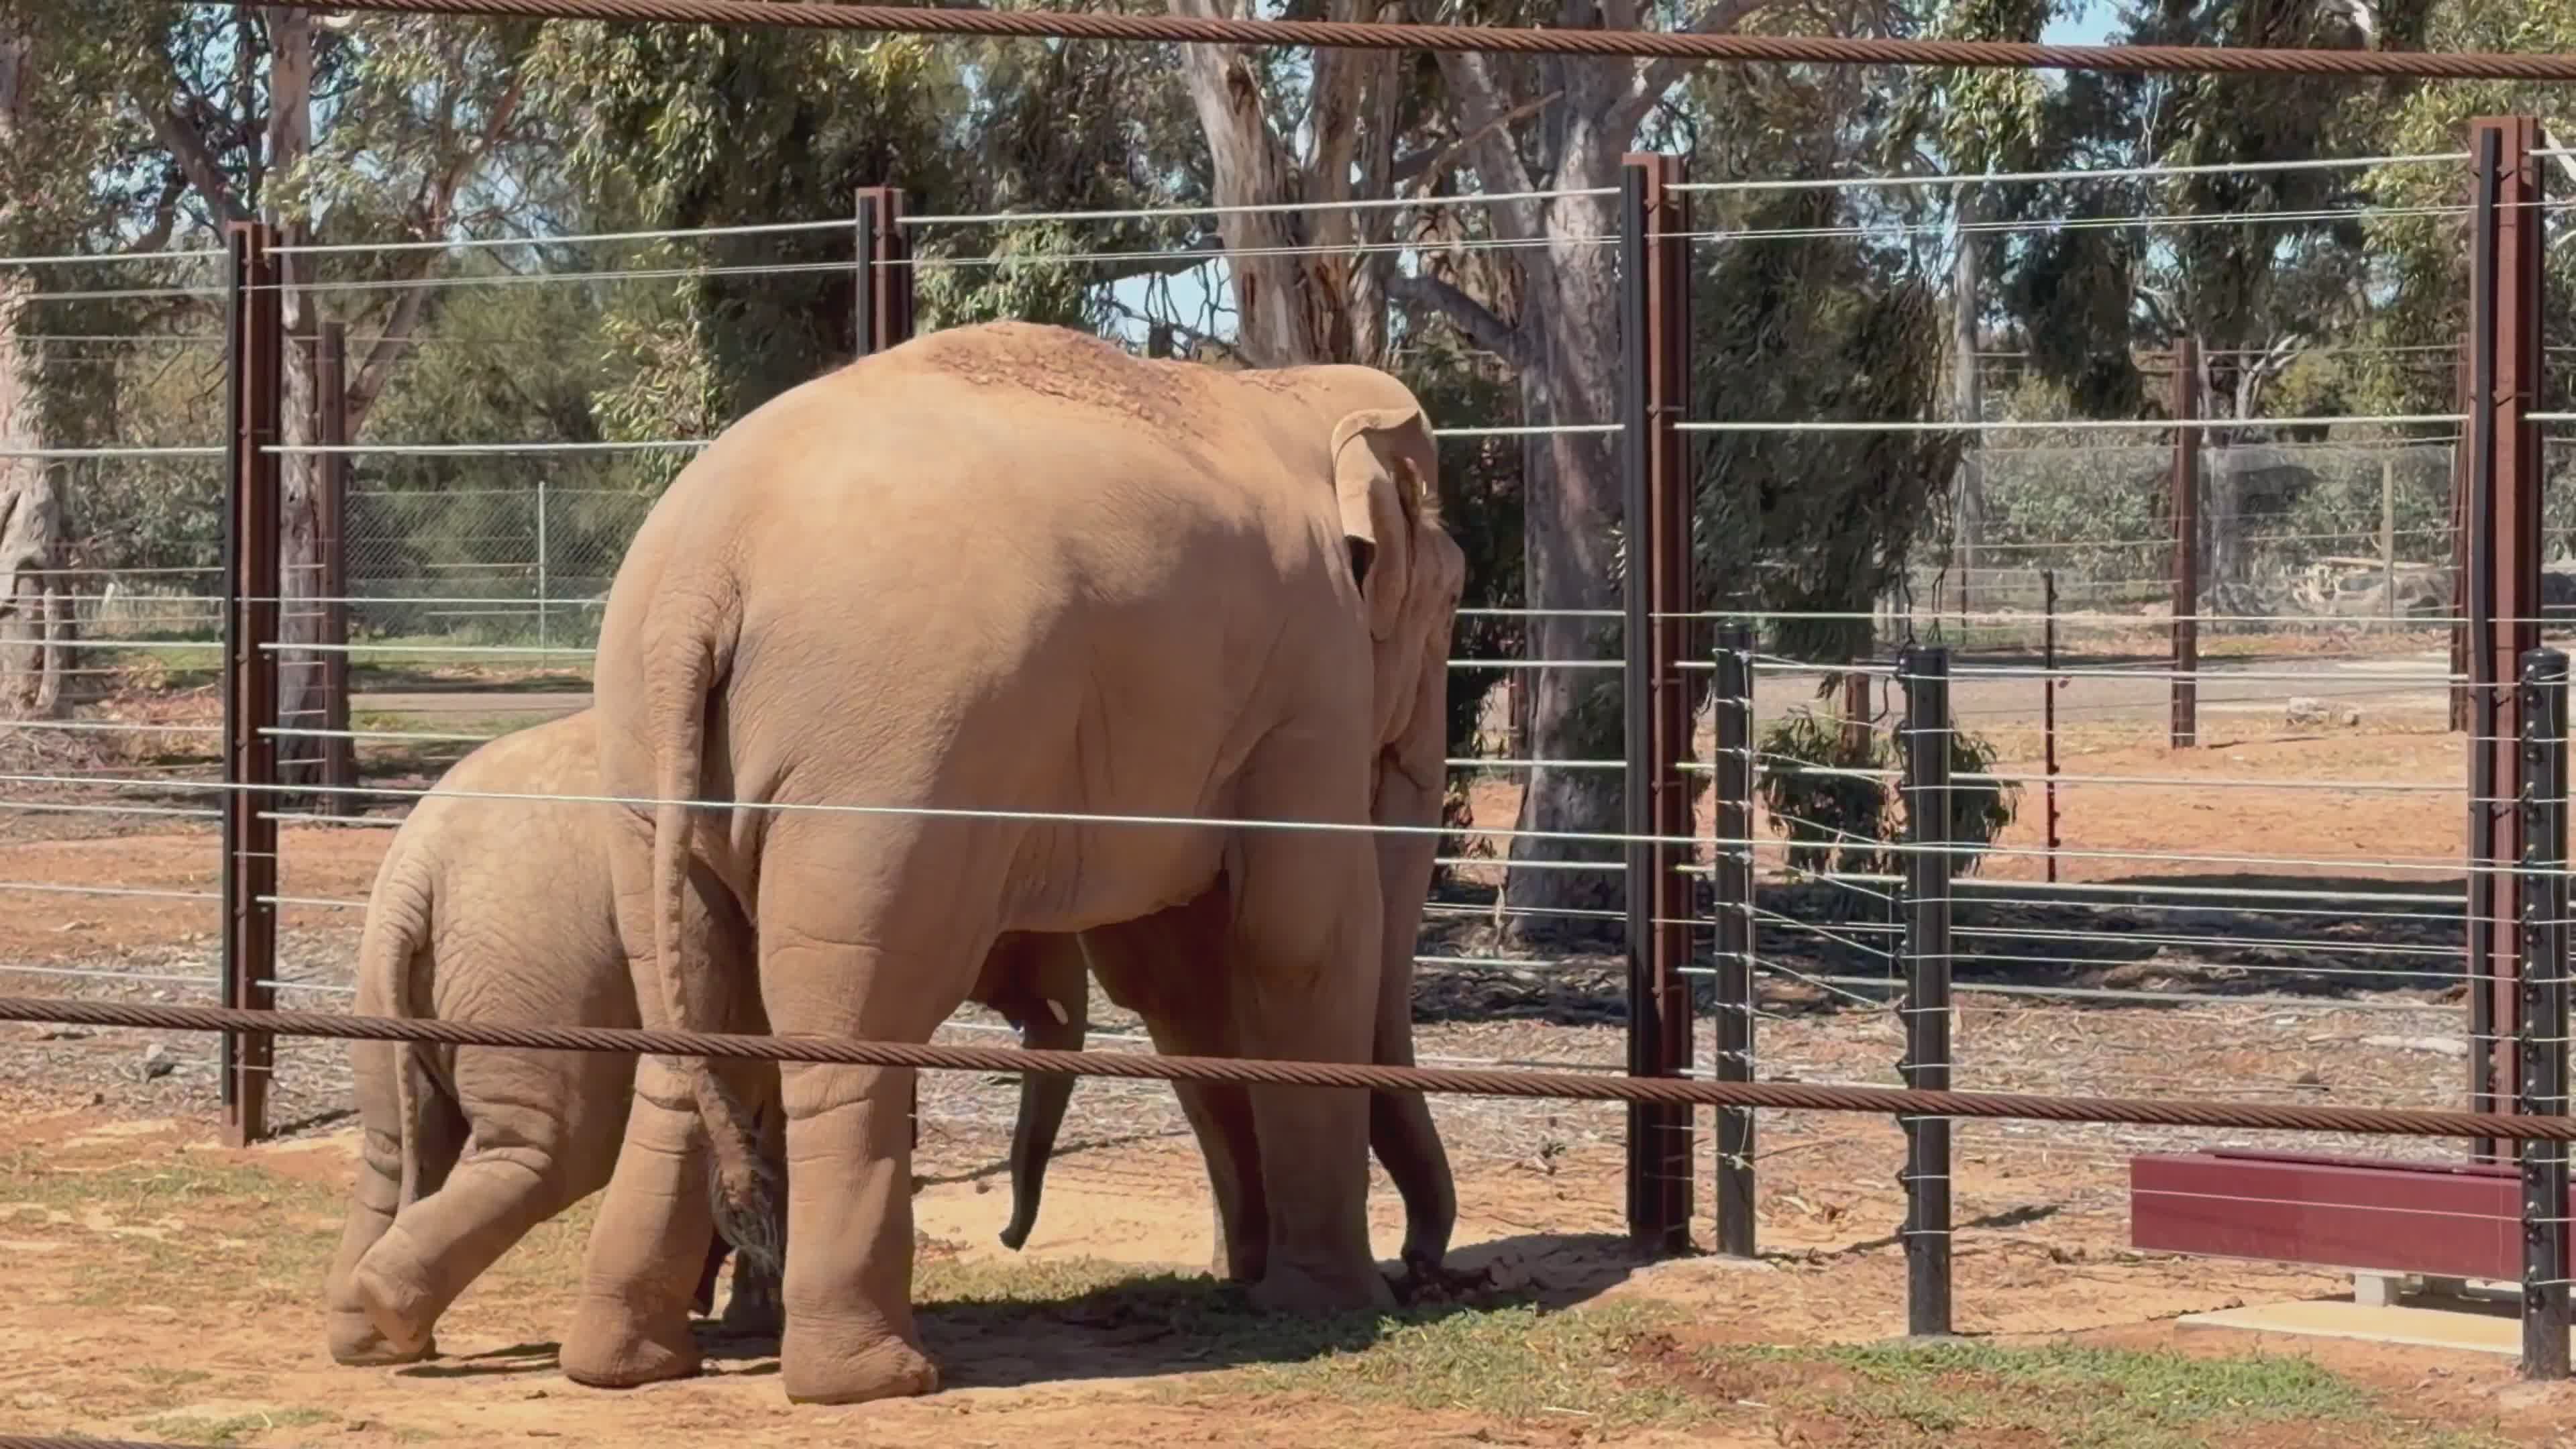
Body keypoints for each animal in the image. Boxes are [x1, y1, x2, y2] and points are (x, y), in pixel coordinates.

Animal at [322, 708, 1097, 1367]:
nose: (1007, 1235)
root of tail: (417, 875)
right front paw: (753, 1316)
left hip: (390, 997)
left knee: (398, 1147)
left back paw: (371, 1338)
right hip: (538, 980)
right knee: (548, 1149)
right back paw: (392, 1314)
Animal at [557, 319, 1465, 1405]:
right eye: (1452, 605)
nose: (1424, 1274)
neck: (1288, 393)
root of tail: (706, 573)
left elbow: (1179, 964)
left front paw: (1254, 1279)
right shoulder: (1311, 672)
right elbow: (1303, 936)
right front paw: (1330, 1303)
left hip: (645, 762)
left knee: (687, 1011)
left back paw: (622, 1365)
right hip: (889, 770)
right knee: (855, 1022)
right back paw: (873, 1378)